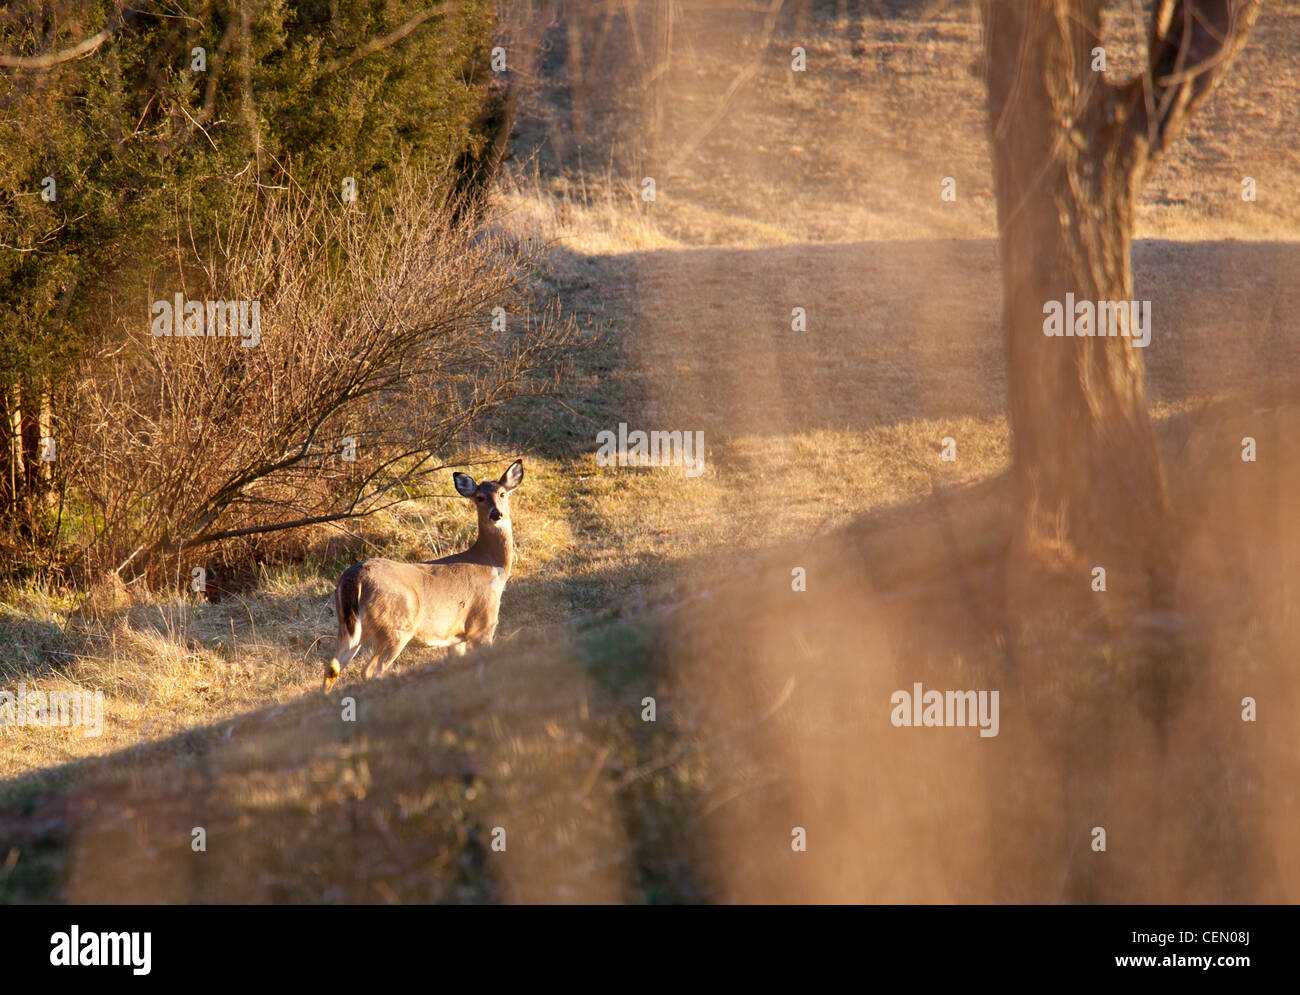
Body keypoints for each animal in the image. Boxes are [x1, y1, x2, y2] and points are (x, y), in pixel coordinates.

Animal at [322, 459, 523, 692]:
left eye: (502, 493)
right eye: (480, 497)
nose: (496, 514)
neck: (491, 564)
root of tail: (354, 578)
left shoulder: (457, 637)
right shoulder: (482, 622)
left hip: (348, 626)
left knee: (333, 667)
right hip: (396, 626)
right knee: (370, 670)